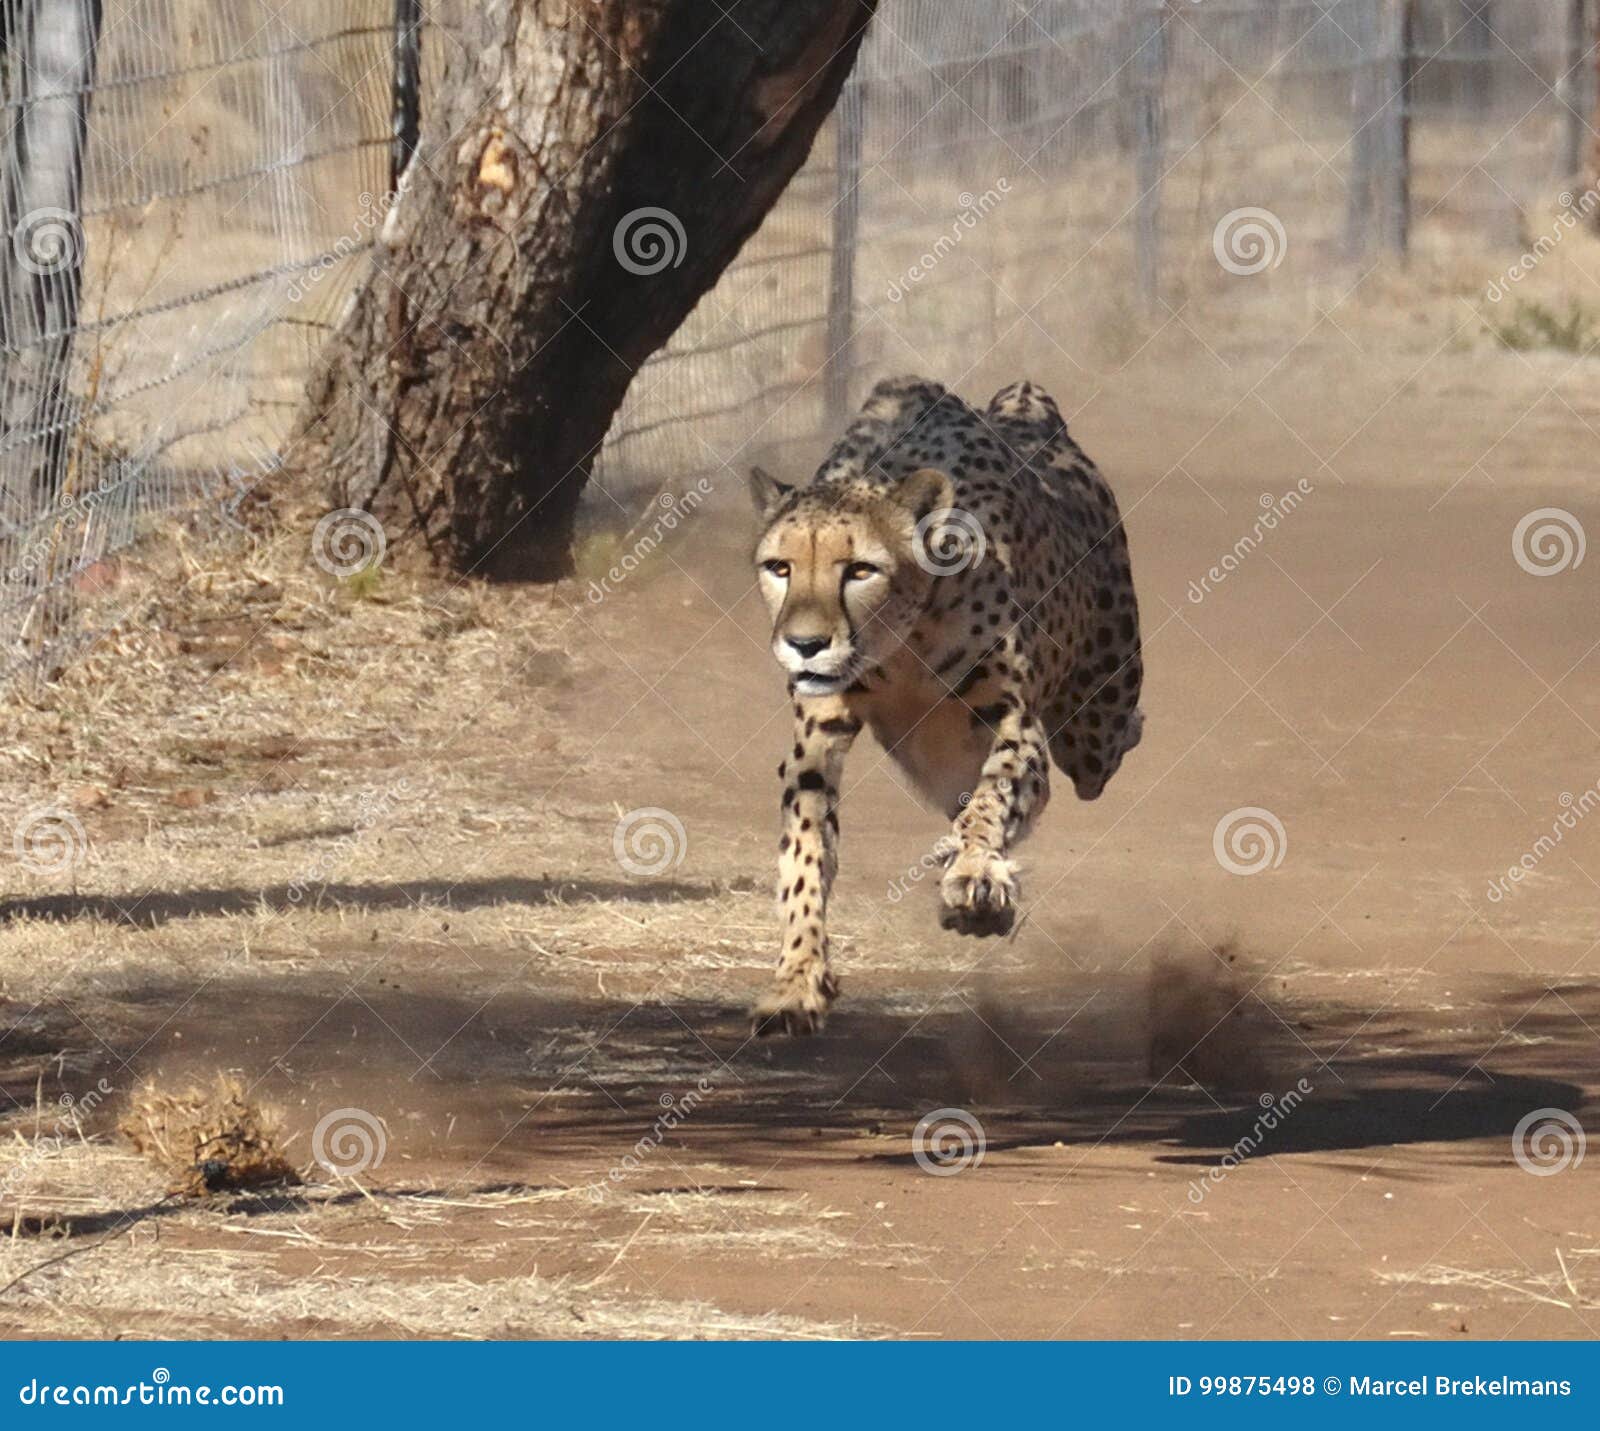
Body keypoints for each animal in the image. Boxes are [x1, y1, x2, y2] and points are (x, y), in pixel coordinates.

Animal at [746, 373, 1144, 1036]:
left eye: (860, 569)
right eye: (780, 567)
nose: (804, 644)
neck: (900, 641)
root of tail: (1025, 405)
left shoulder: (1015, 725)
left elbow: (994, 799)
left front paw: (977, 873)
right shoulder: (815, 741)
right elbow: (804, 857)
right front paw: (798, 980)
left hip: (1094, 729)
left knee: (1098, 753)